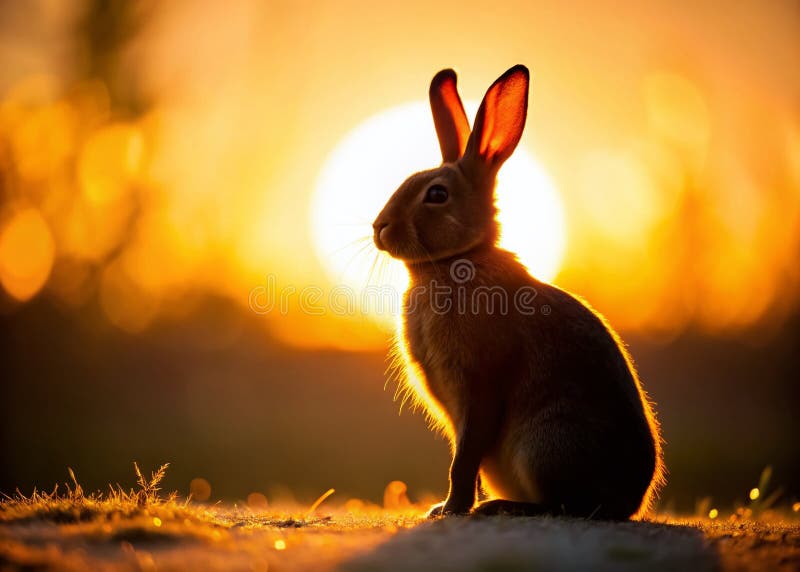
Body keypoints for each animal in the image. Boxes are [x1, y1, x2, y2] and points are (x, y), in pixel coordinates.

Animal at [372, 65, 664, 520]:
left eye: (436, 194)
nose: (379, 228)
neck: (456, 261)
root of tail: (628, 502)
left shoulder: (478, 384)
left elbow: (464, 459)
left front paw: (452, 509)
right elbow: (466, 460)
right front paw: (443, 508)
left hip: (545, 445)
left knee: (564, 505)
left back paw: (500, 507)